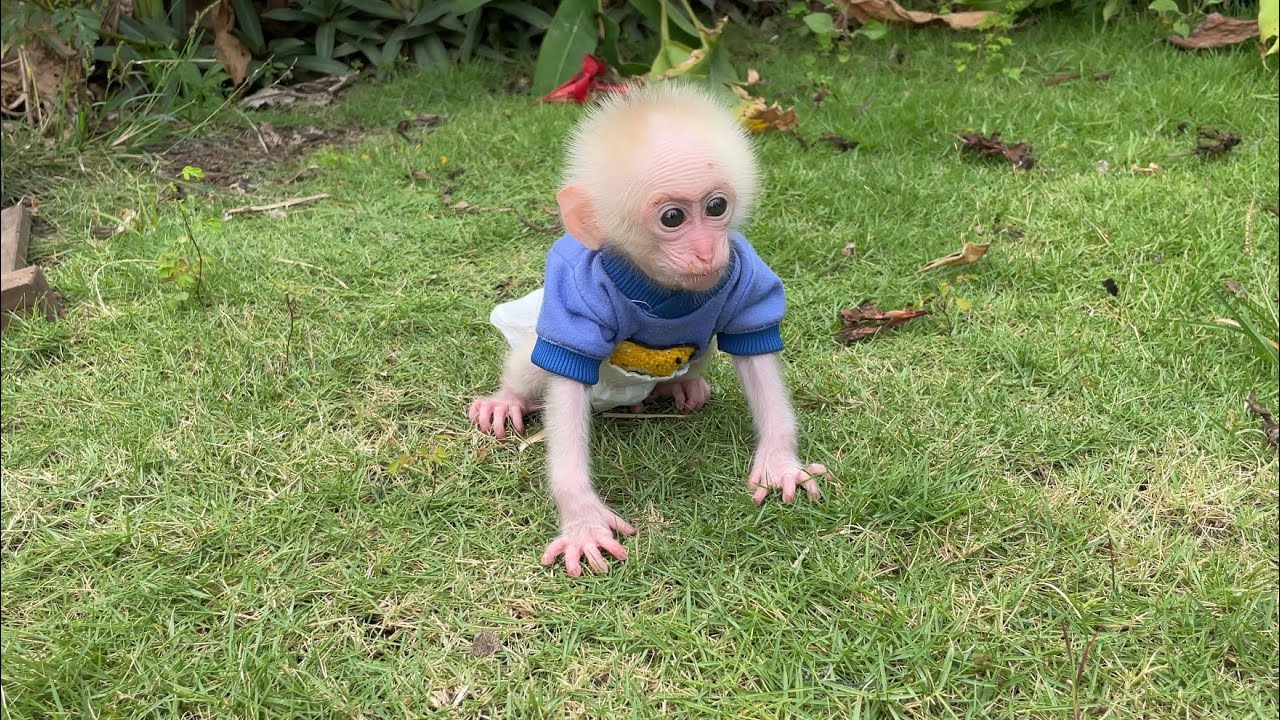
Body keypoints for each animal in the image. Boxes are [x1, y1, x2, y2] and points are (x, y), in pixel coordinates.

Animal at [467, 82, 829, 577]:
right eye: (672, 218)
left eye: (716, 206)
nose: (706, 253)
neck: (657, 287)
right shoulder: (579, 289)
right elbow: (565, 376)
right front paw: (582, 519)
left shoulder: (744, 270)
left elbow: (755, 352)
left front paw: (780, 461)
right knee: (531, 360)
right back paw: (507, 400)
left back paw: (679, 387)